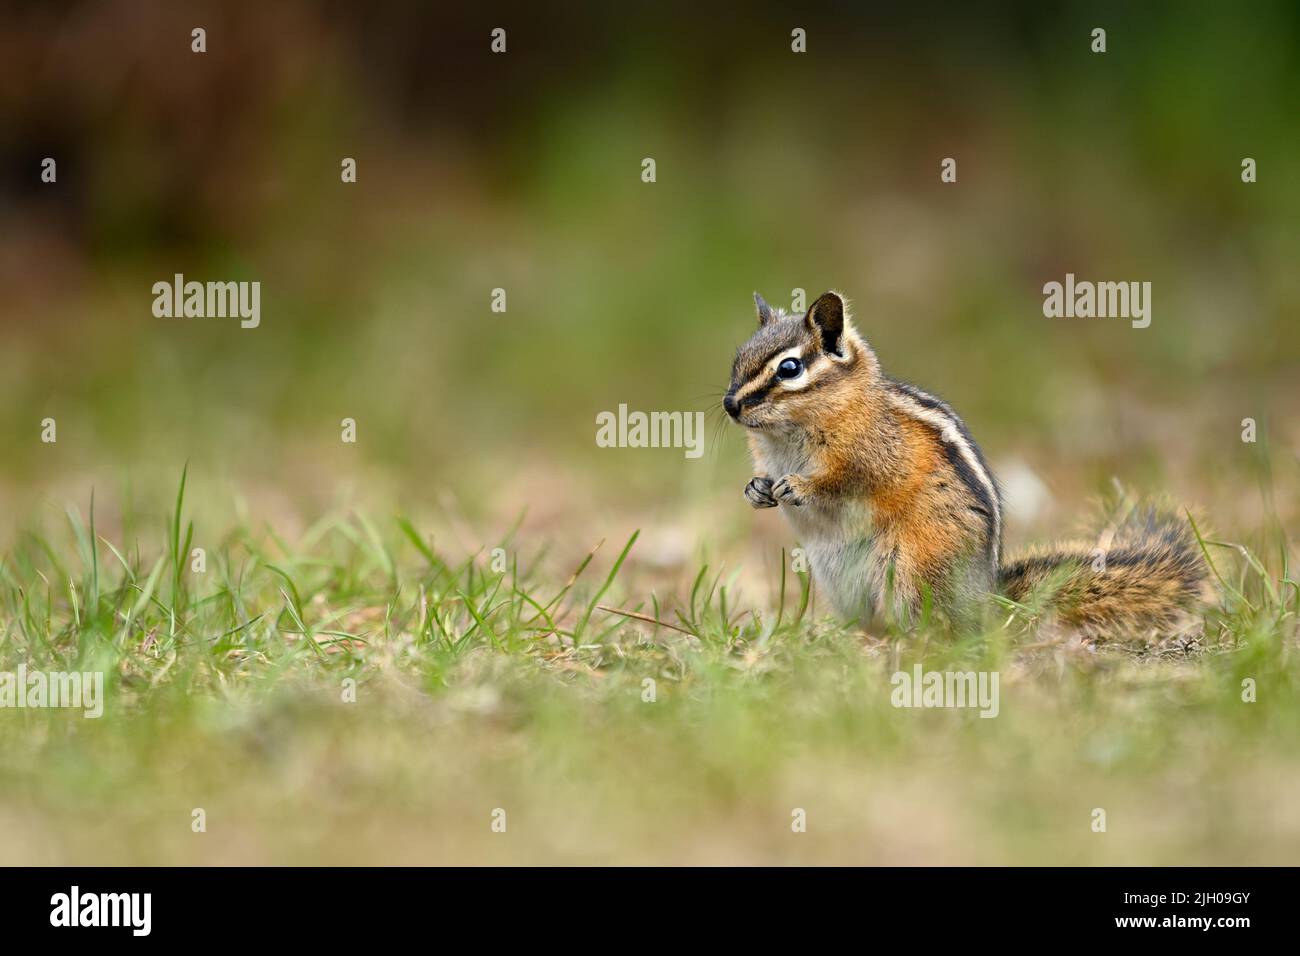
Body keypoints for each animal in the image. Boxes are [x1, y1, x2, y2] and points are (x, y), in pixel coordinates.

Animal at [724, 289, 1211, 640]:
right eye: (738, 359)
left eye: (790, 369)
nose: (730, 404)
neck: (789, 434)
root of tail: (986, 598)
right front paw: (756, 490)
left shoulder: (875, 455)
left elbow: (847, 482)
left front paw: (799, 487)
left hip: (912, 569)